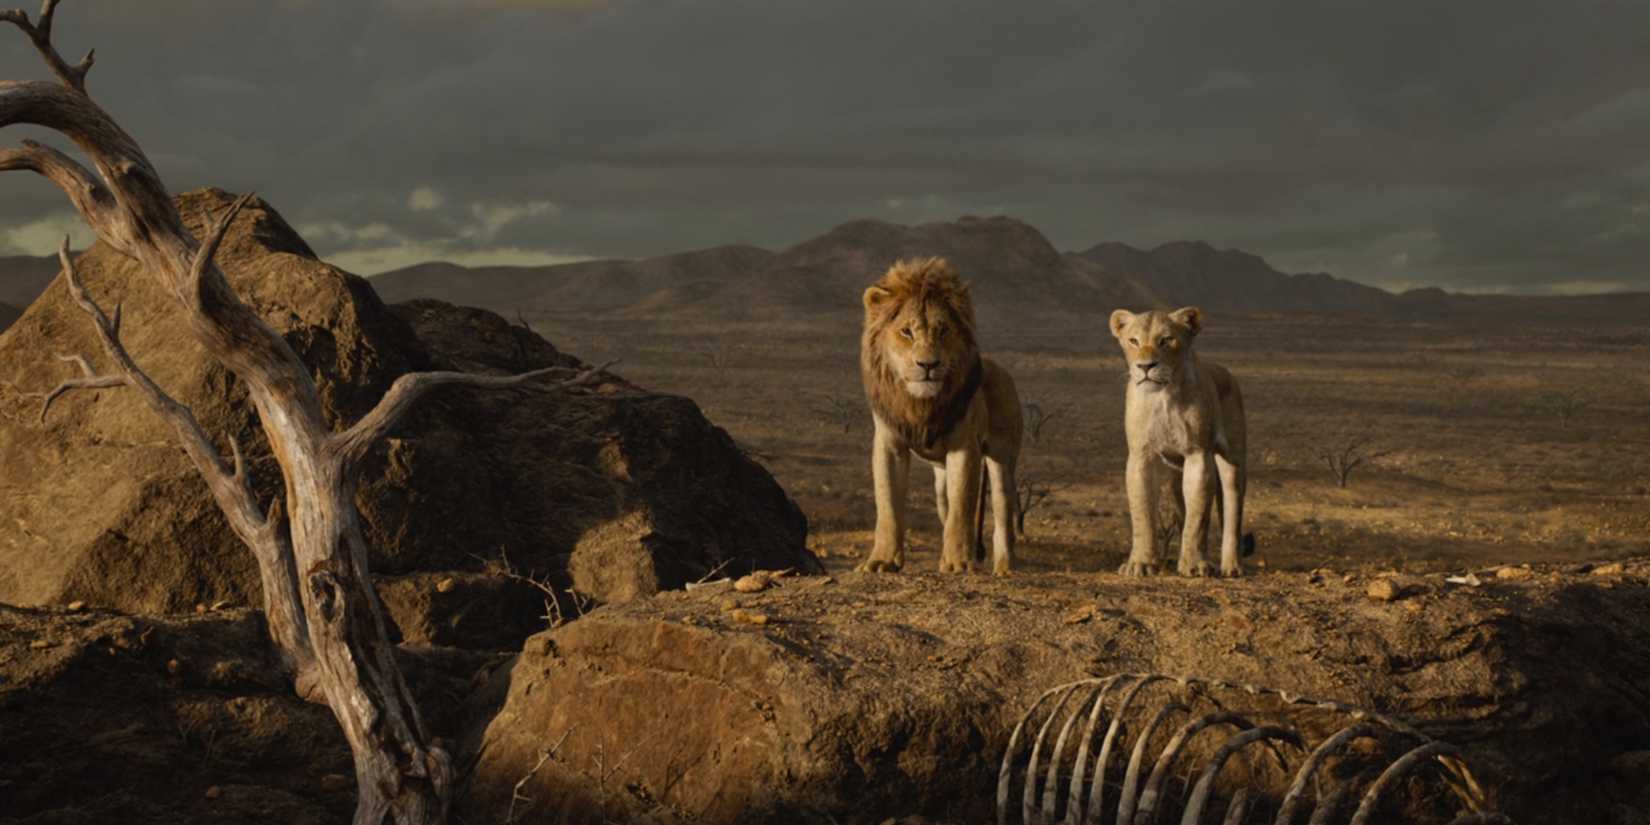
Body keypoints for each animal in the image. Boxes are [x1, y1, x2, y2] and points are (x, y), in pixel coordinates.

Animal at [857, 257, 1024, 575]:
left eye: (943, 330)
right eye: (906, 332)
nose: (928, 364)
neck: (921, 403)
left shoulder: (964, 446)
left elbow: (962, 506)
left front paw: (959, 562)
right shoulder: (889, 444)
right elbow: (887, 505)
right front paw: (883, 560)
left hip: (1003, 459)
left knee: (1003, 514)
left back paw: (1004, 567)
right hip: (939, 483)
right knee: (946, 507)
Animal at [1108, 306, 1254, 577]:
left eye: (1166, 340)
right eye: (1133, 341)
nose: (1145, 366)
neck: (1162, 395)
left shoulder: (1198, 453)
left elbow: (1198, 516)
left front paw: (1194, 565)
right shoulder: (1140, 456)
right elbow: (1143, 512)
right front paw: (1140, 564)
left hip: (1234, 462)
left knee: (1232, 508)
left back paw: (1231, 566)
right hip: (1176, 477)